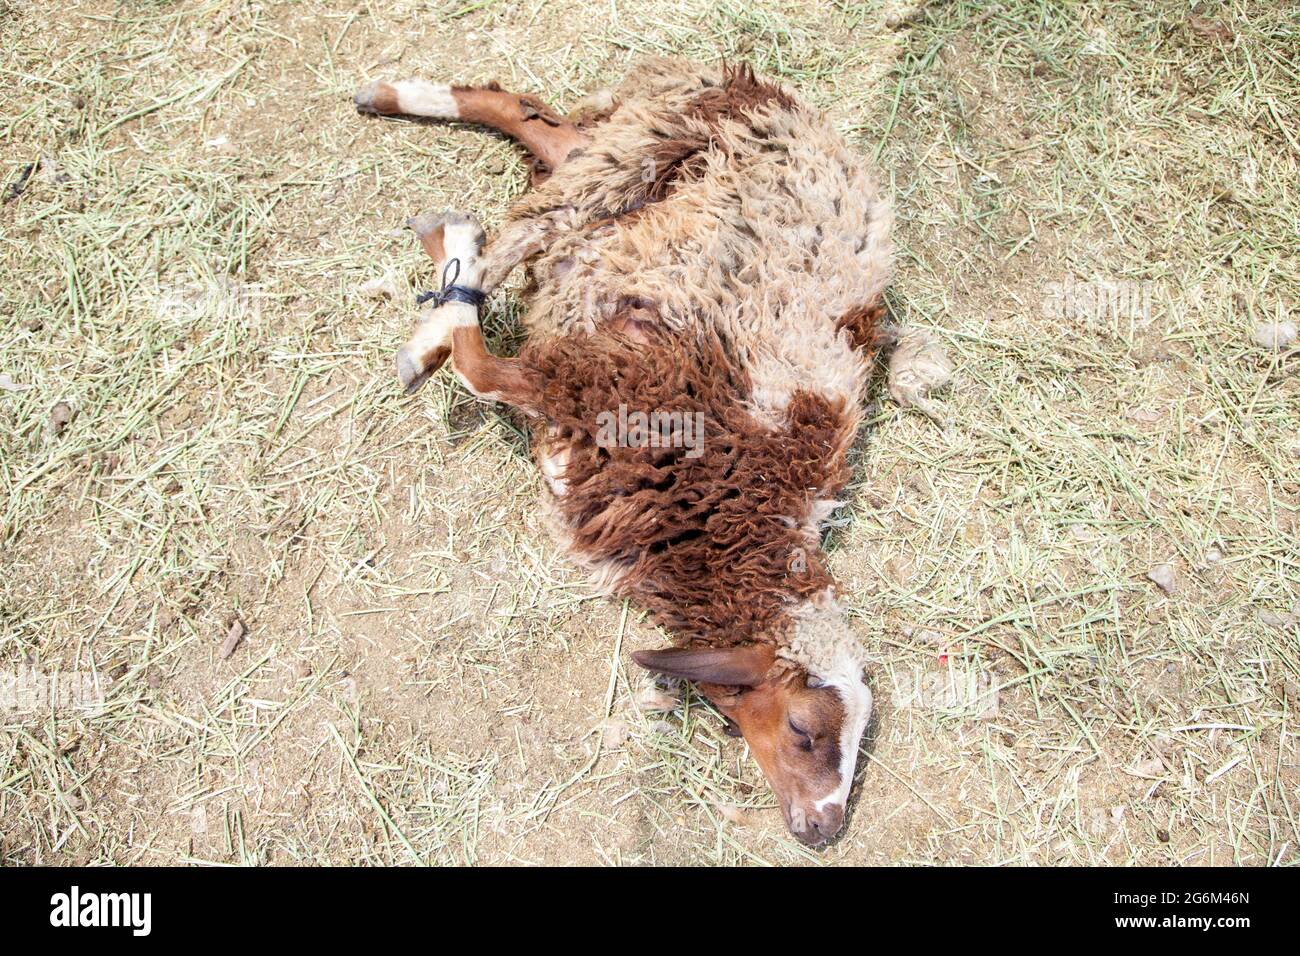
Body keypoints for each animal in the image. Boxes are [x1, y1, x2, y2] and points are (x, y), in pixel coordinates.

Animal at [354, 59, 892, 845]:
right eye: (804, 730)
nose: (822, 829)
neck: (734, 505)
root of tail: (765, 93)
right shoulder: (607, 387)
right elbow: (481, 366)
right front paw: (448, 286)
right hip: (646, 148)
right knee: (534, 213)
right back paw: (442, 271)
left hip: (625, 157)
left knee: (542, 133)